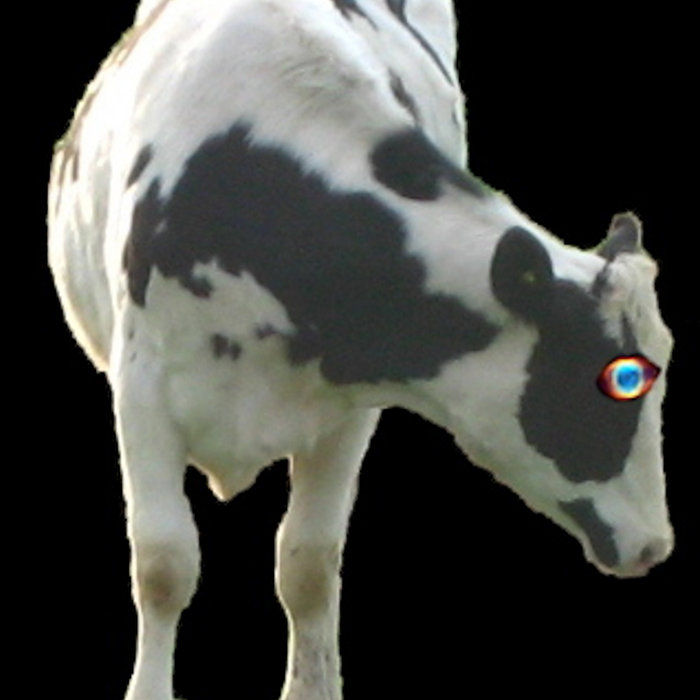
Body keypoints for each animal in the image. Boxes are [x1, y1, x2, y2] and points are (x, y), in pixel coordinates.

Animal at [47, 1, 674, 699]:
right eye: (619, 380)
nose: (655, 546)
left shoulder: (348, 410)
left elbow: (308, 563)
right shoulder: (143, 393)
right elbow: (164, 565)